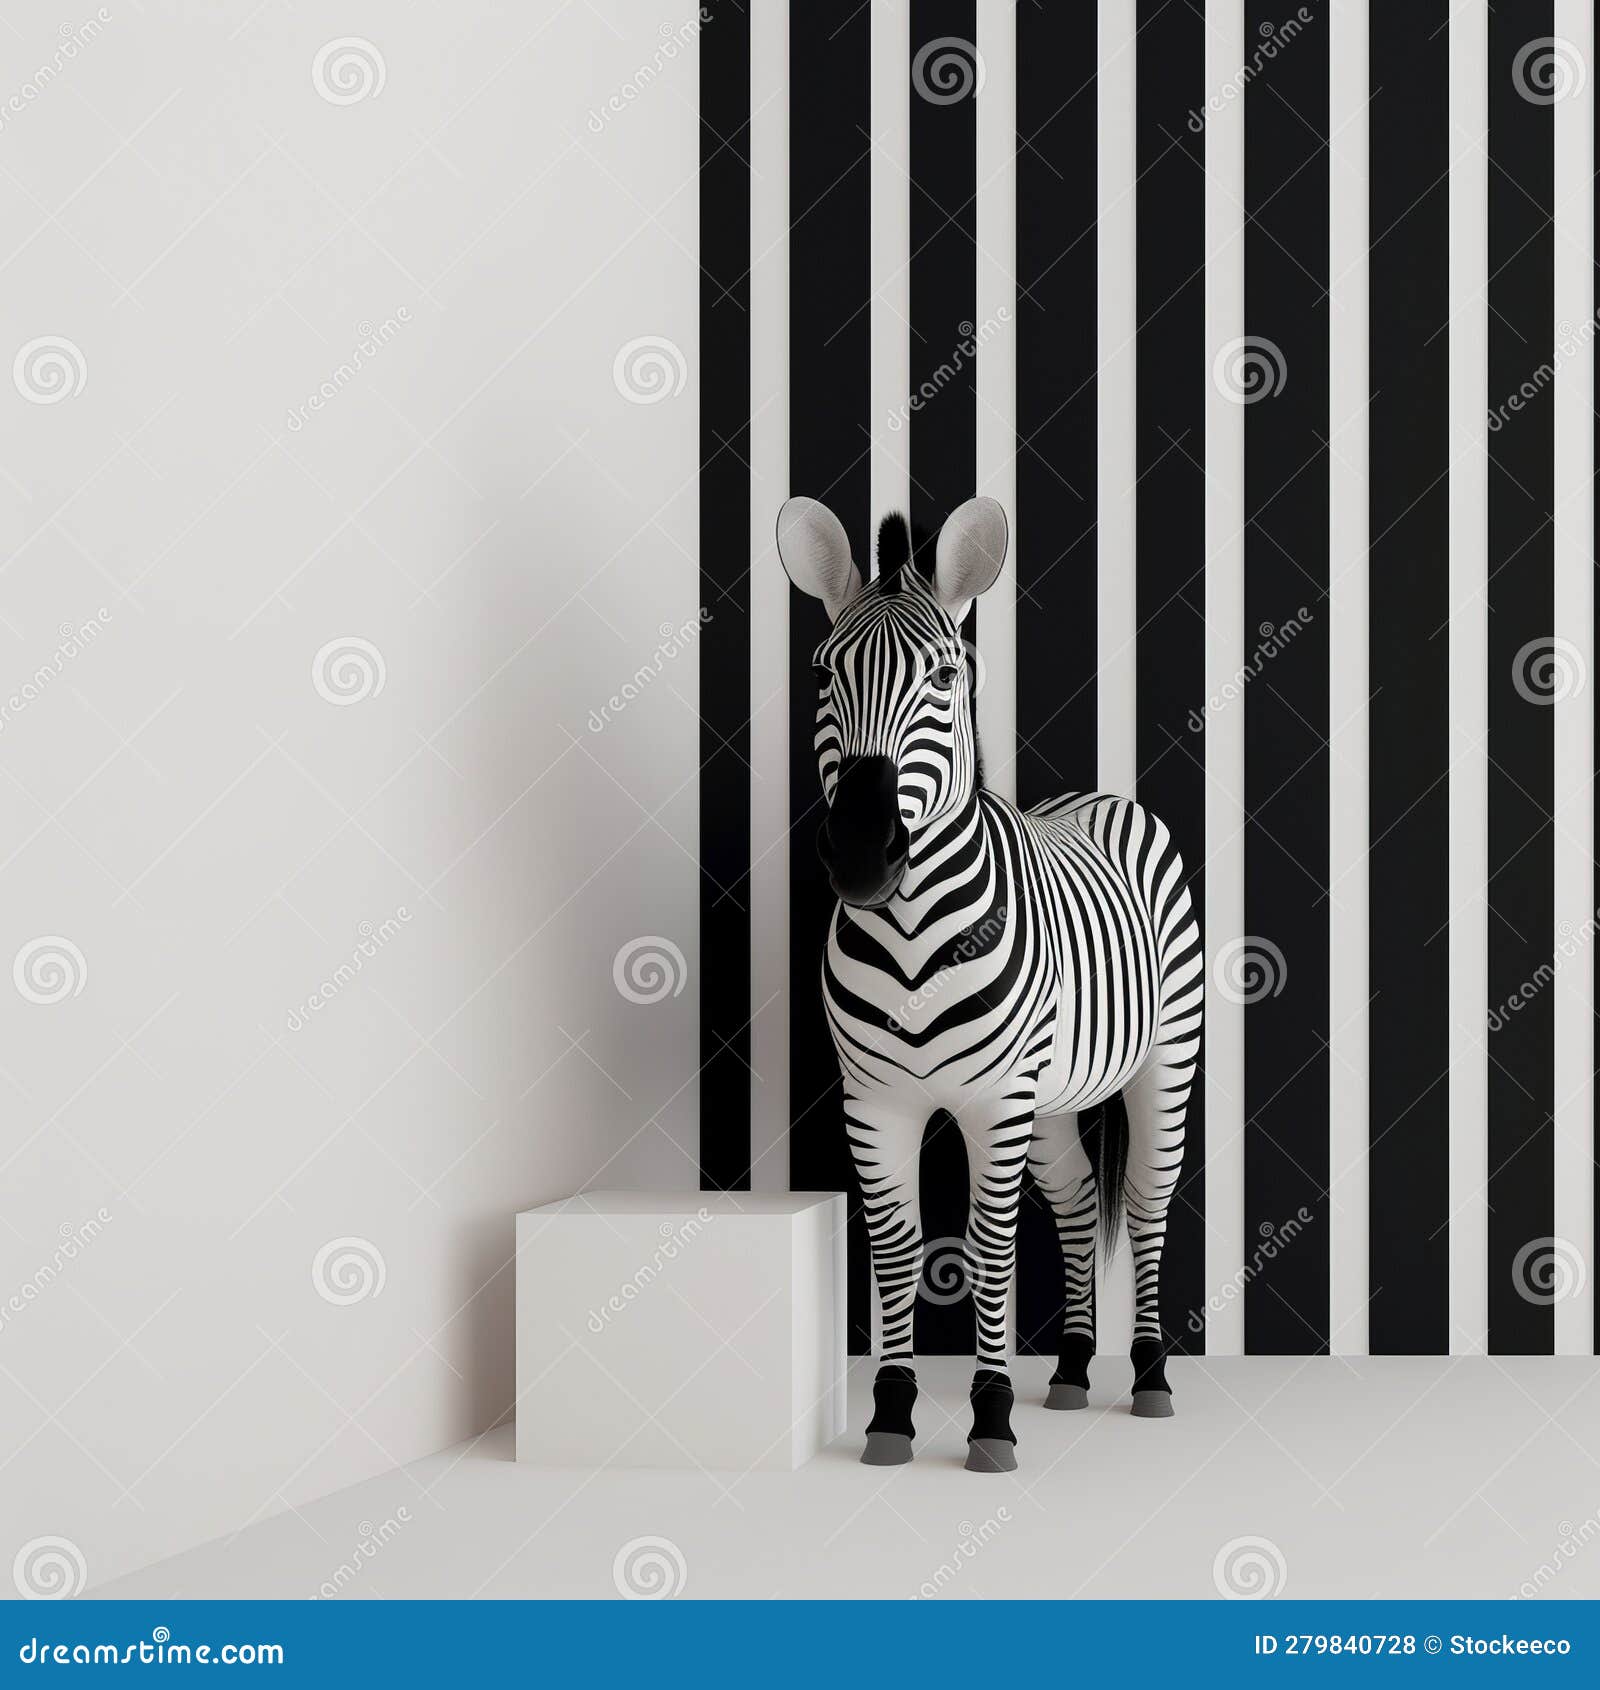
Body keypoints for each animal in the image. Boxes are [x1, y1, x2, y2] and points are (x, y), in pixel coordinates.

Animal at [777, 493, 1203, 1473]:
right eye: (821, 674)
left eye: (944, 676)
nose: (863, 854)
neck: (909, 937)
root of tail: (1103, 797)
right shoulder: (876, 1101)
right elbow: (896, 1247)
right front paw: (892, 1415)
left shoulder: (995, 1101)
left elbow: (989, 1247)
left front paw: (991, 1418)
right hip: (1052, 1096)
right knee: (1080, 1199)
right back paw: (1075, 1367)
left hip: (1164, 1059)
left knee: (1146, 1199)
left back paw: (1150, 1376)